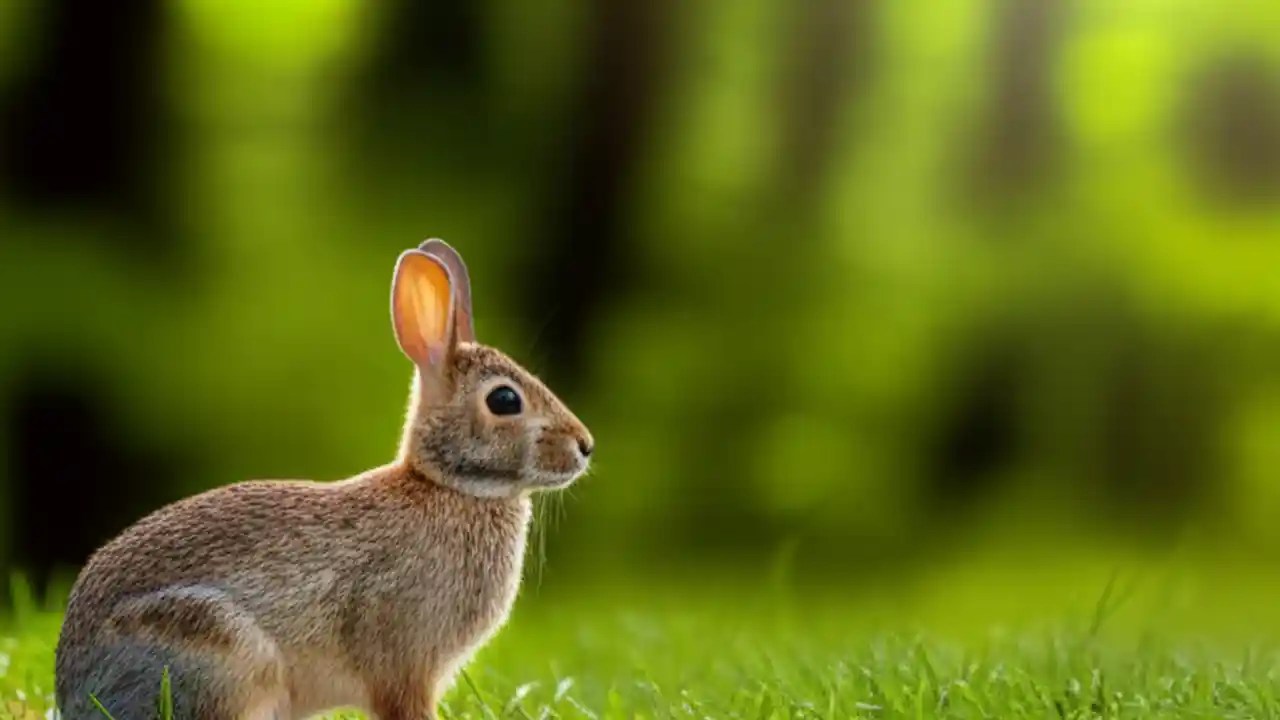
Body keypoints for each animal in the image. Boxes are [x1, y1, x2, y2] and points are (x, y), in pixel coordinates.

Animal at [54, 239, 594, 720]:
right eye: (504, 400)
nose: (585, 446)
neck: (448, 485)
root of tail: (74, 689)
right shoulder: (401, 660)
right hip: (222, 653)